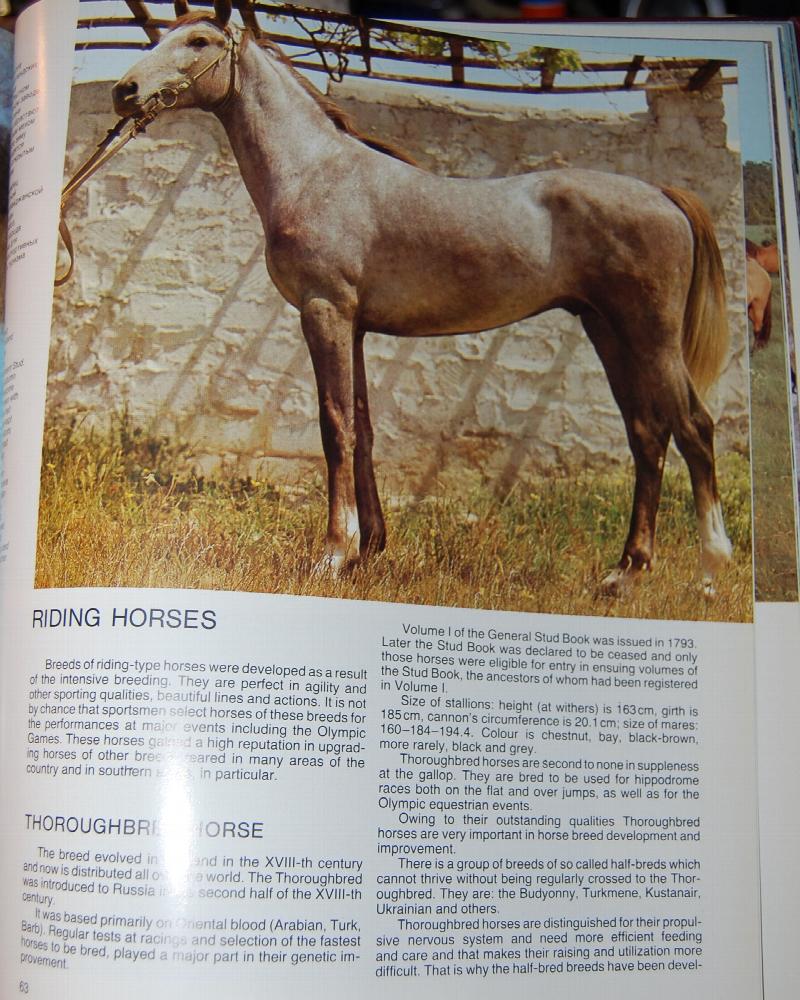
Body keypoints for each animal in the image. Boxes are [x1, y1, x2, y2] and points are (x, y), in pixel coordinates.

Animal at [111, 0, 733, 596]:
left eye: (198, 41)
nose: (125, 92)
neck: (316, 173)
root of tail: (662, 193)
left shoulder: (325, 312)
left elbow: (334, 426)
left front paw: (332, 555)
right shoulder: (355, 325)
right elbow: (362, 428)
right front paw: (367, 550)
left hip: (651, 336)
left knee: (694, 428)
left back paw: (710, 571)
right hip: (608, 330)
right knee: (647, 434)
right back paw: (625, 573)